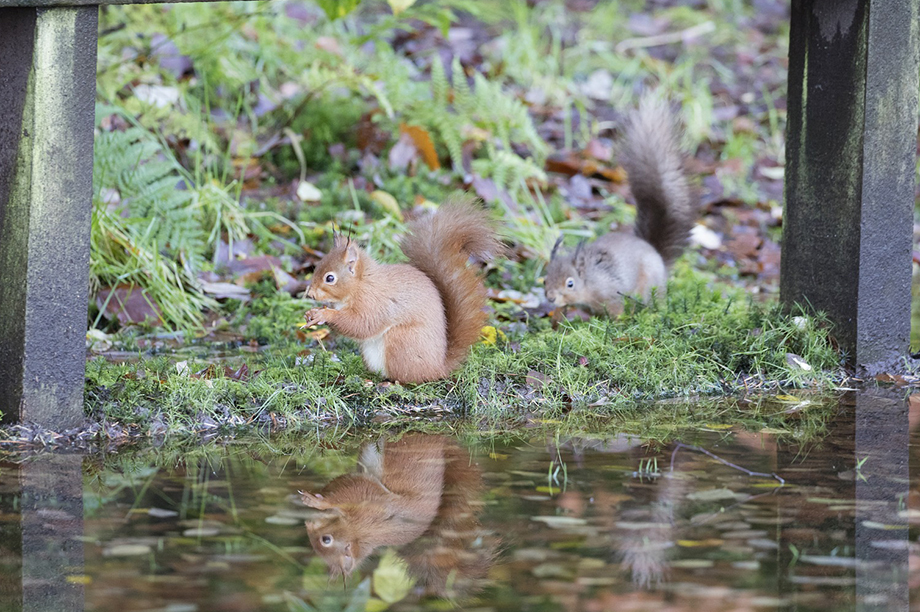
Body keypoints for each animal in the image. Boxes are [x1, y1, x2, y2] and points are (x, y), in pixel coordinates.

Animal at [303, 195, 502, 383]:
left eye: (330, 278)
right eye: (317, 266)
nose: (310, 294)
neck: (361, 284)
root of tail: (438, 367)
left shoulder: (374, 302)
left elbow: (361, 324)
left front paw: (325, 314)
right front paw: (312, 314)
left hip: (401, 342)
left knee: (409, 377)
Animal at [544, 96, 696, 317]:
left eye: (570, 283)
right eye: (545, 278)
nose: (550, 298)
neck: (590, 281)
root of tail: (658, 256)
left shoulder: (612, 295)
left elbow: (616, 312)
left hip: (648, 287)